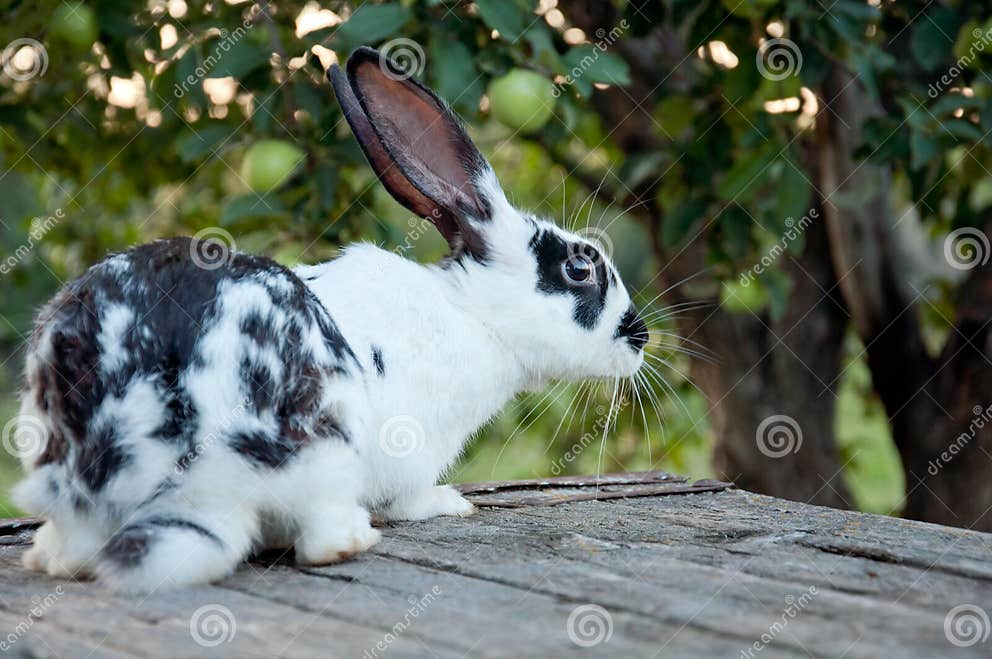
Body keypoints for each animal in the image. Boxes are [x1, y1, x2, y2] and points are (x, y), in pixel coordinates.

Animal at [10, 46, 649, 592]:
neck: (471, 312)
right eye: (579, 268)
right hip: (326, 450)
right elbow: (408, 498)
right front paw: (449, 503)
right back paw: (356, 539)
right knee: (317, 540)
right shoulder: (411, 453)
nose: (641, 337)